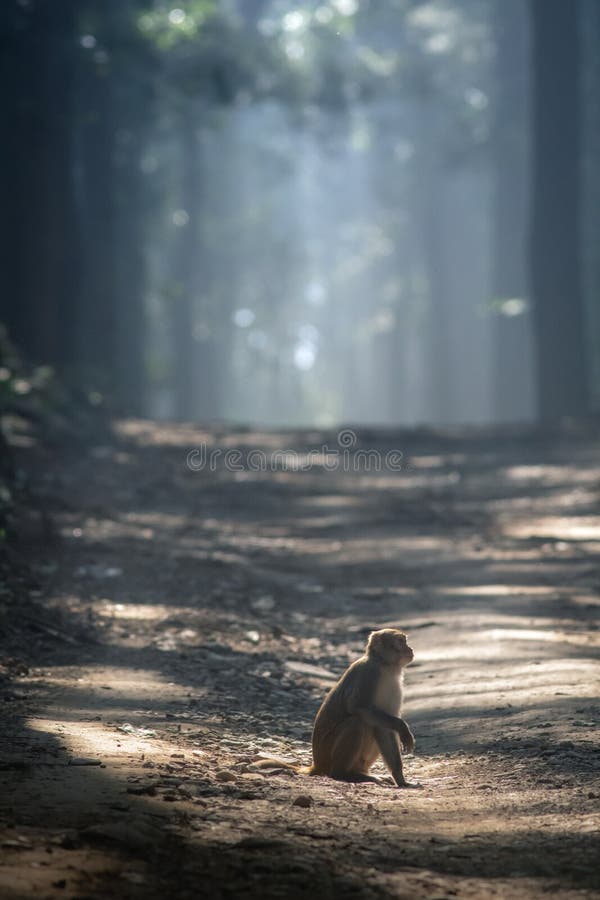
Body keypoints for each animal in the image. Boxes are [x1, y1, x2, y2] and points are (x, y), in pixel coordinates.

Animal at [253, 628, 416, 788]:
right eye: (401, 641)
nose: (410, 649)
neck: (384, 665)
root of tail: (317, 764)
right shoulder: (369, 673)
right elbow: (357, 708)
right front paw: (402, 727)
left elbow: (384, 729)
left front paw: (400, 778)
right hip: (327, 754)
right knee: (357, 722)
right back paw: (344, 775)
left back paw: (359, 773)